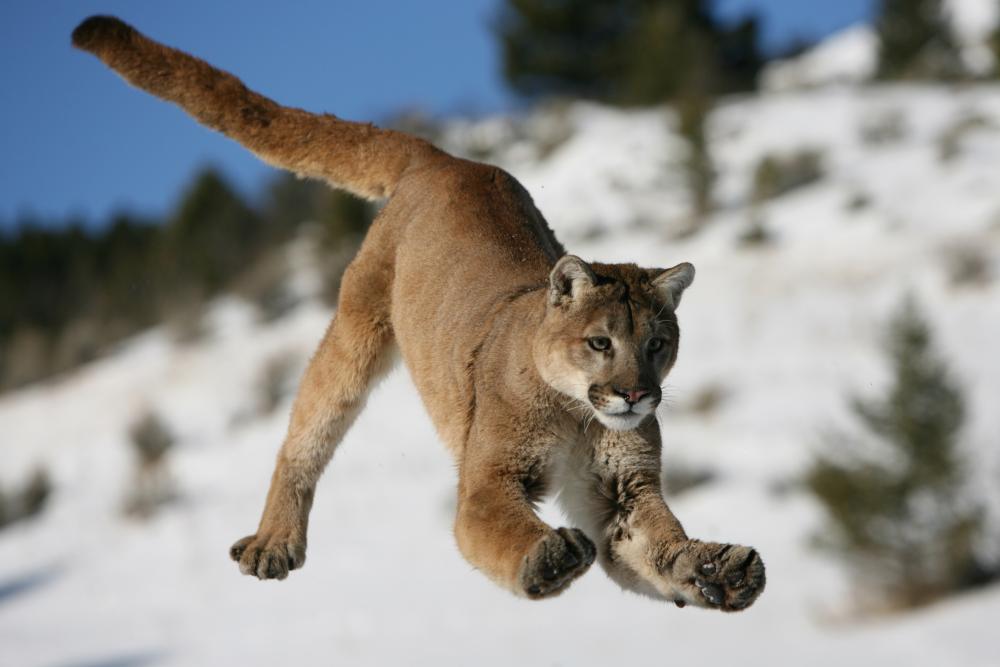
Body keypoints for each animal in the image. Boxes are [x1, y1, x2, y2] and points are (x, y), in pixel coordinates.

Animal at [73, 15, 765, 610]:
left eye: (657, 345)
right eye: (601, 343)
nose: (635, 395)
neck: (576, 412)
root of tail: (446, 158)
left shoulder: (622, 493)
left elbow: (653, 548)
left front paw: (716, 568)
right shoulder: (488, 480)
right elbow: (497, 527)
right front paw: (547, 557)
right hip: (355, 332)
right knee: (305, 431)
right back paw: (274, 542)